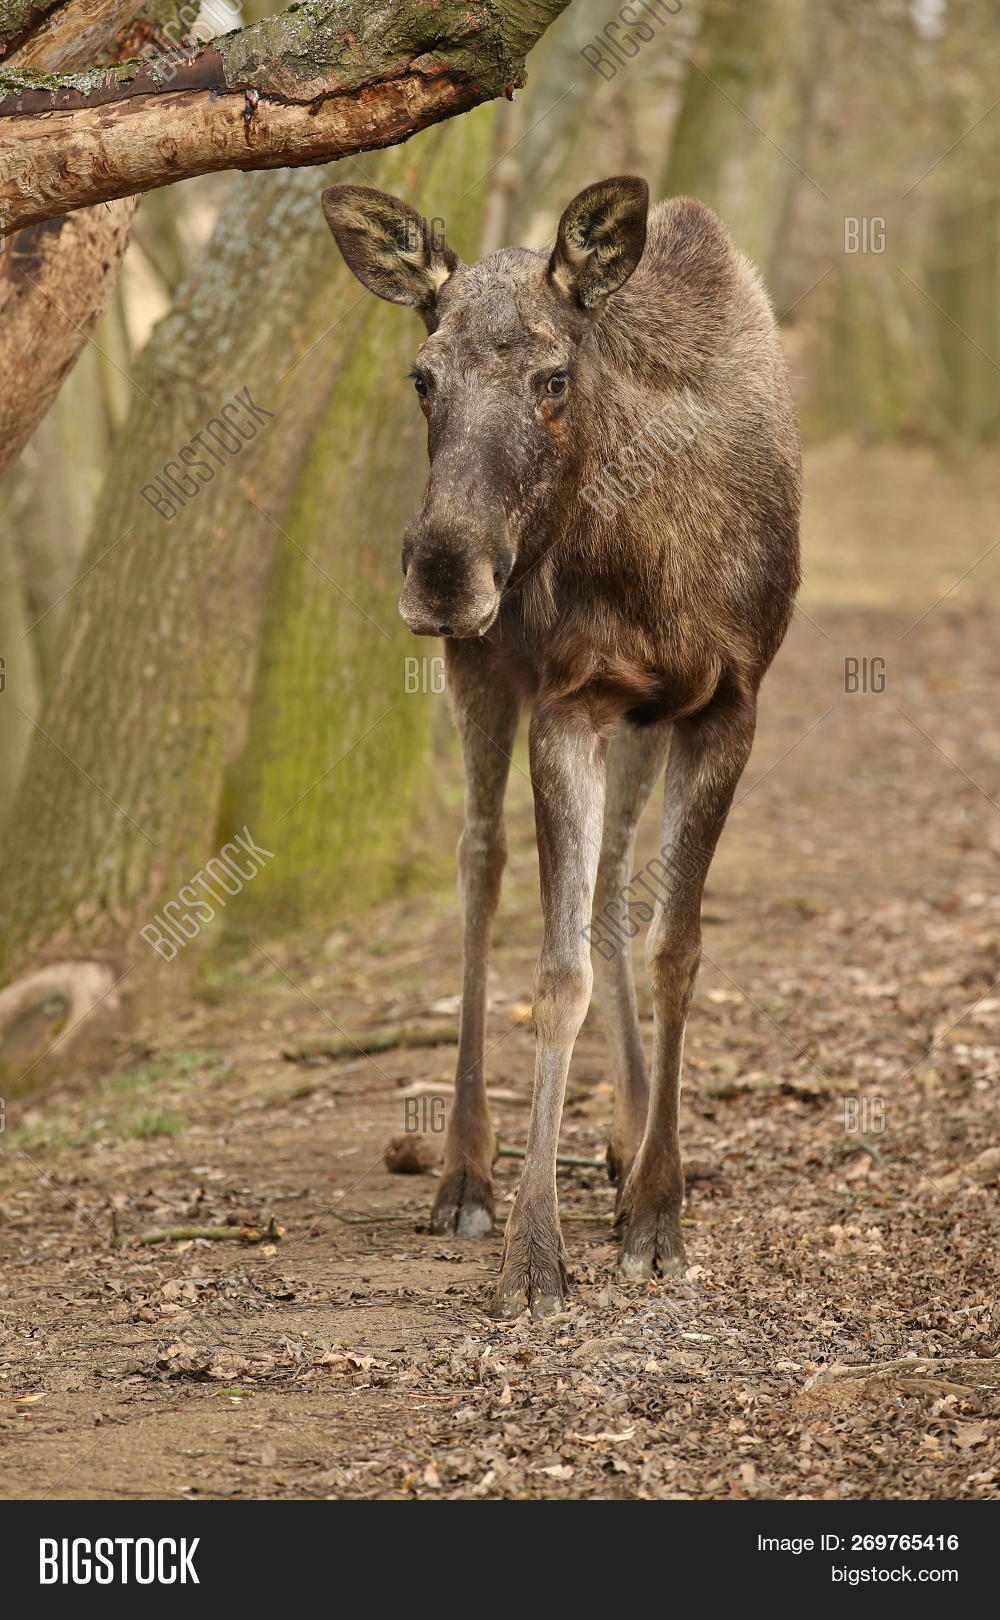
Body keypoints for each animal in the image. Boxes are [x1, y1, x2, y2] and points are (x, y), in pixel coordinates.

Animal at [321, 175, 800, 1319]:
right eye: (421, 376)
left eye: (552, 375)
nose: (442, 565)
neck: (657, 556)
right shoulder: (565, 699)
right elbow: (555, 972)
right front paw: (535, 1253)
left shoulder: (727, 702)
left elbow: (676, 947)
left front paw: (659, 1210)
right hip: (484, 672)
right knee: (479, 859)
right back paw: (464, 1171)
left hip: (638, 720)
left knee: (616, 878)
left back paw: (626, 1142)